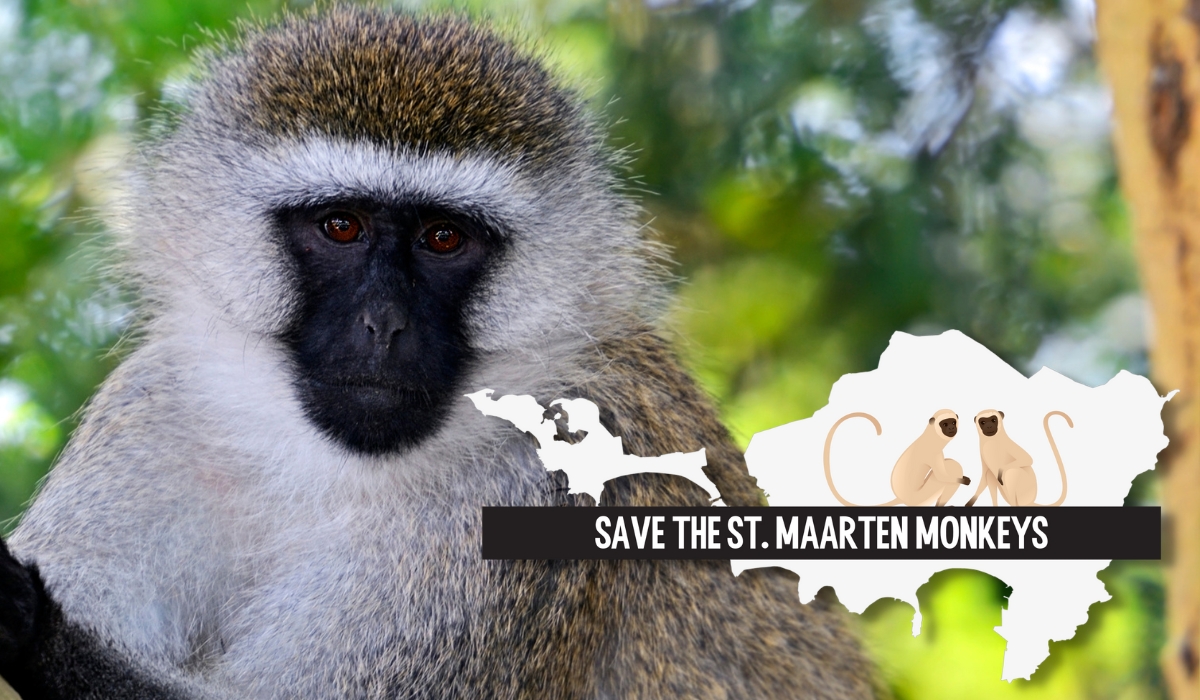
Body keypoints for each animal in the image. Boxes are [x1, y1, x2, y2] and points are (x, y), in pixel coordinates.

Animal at [0, 8, 880, 699]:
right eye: (342, 226)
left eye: (444, 238)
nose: (384, 325)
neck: (321, 466)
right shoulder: (151, 415)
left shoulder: (538, 491)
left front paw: (29, 621)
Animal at [824, 409, 970, 507]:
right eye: (945, 424)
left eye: (953, 422)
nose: (951, 427)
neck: (930, 437)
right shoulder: (932, 454)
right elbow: (942, 476)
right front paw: (963, 480)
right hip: (920, 498)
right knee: (953, 466)